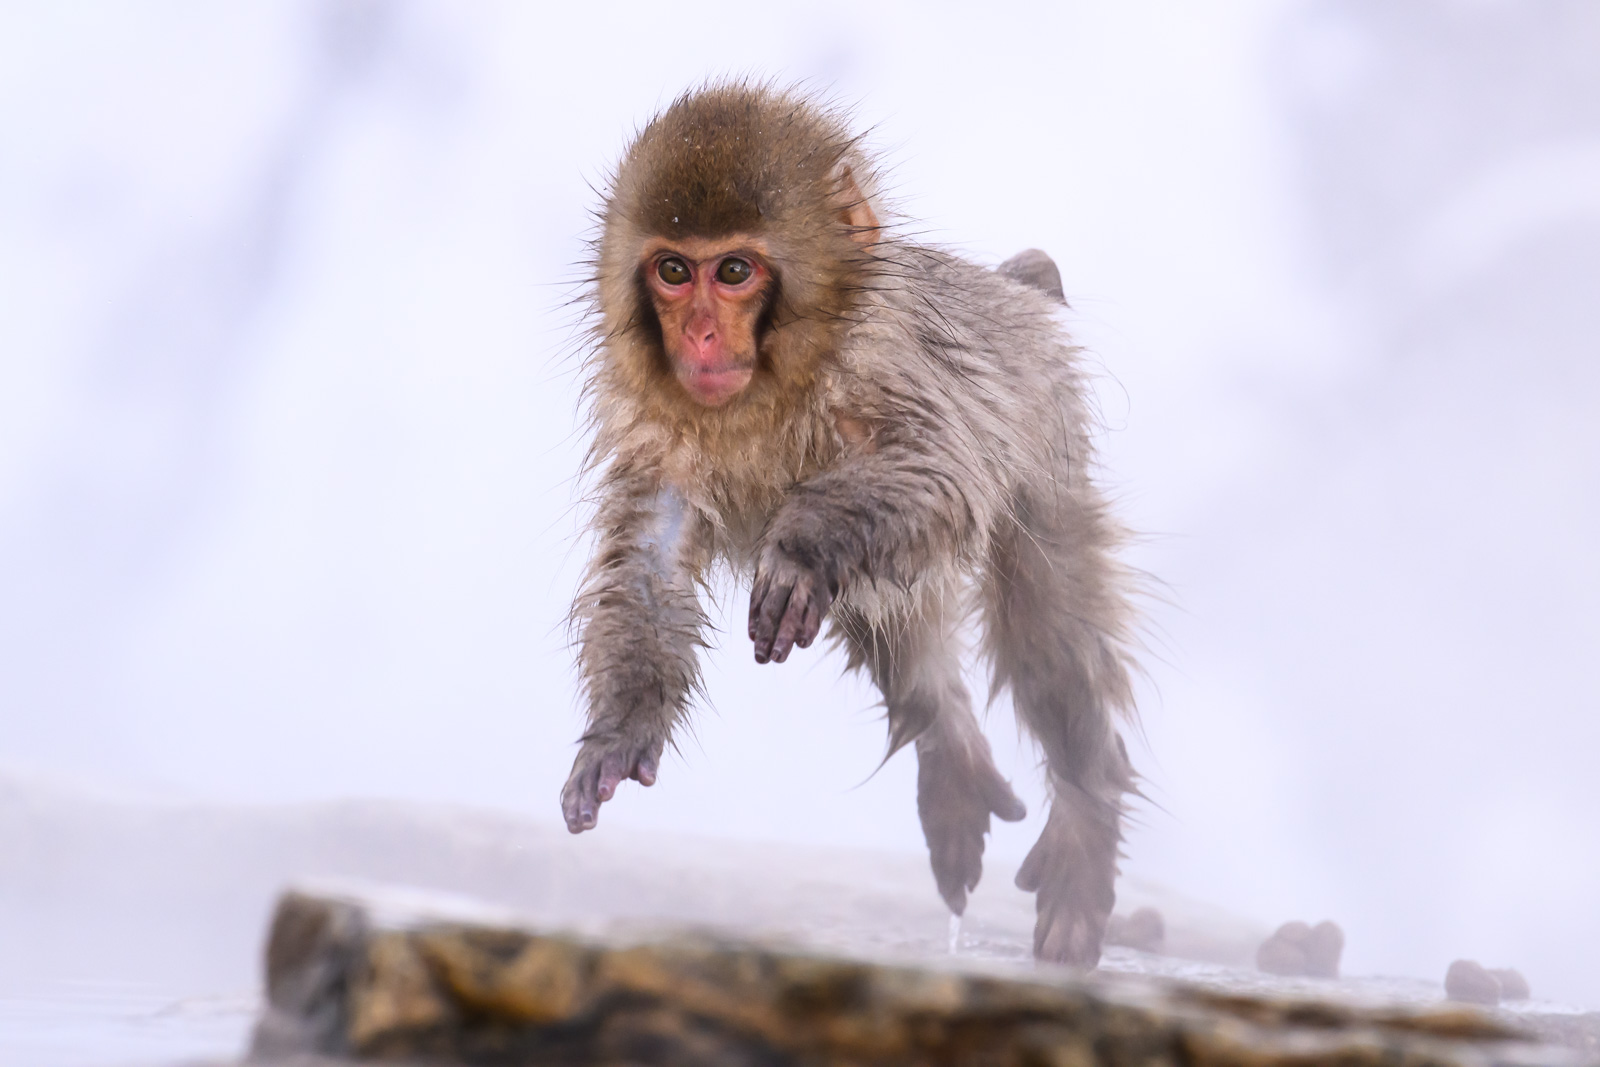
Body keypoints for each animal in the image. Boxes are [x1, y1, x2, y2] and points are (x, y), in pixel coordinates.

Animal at [561, 84, 1139, 968]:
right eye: (673, 270)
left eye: (734, 270)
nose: (698, 334)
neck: (773, 382)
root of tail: (1014, 290)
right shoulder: (654, 423)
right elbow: (652, 561)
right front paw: (619, 728)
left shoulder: (885, 362)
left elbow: (940, 472)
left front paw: (798, 543)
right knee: (884, 611)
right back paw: (950, 750)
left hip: (1048, 429)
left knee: (1044, 621)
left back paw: (1085, 815)